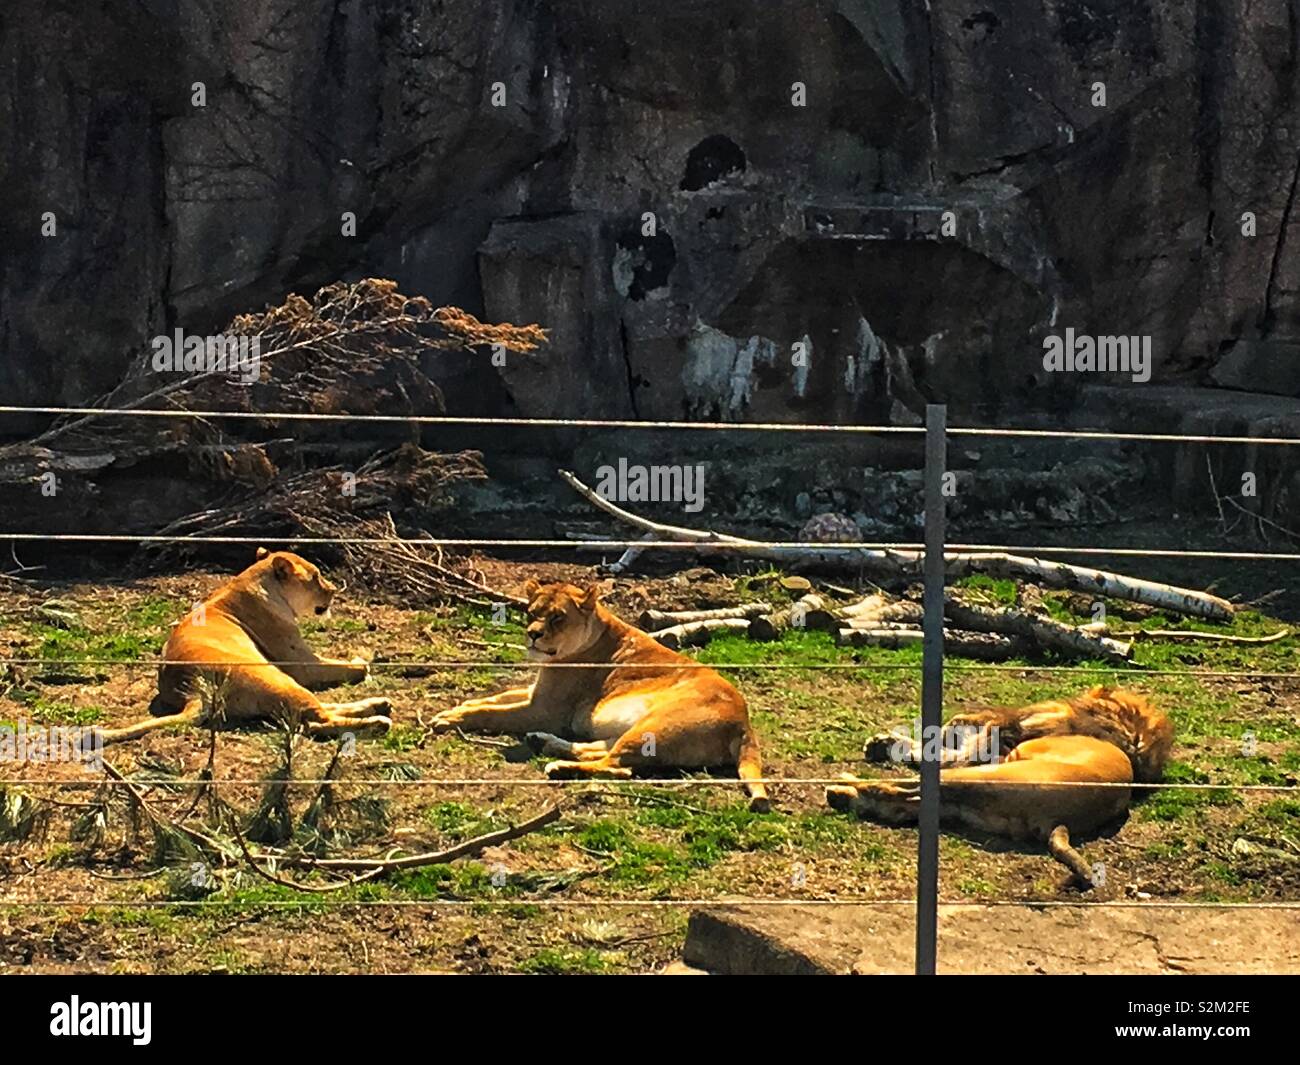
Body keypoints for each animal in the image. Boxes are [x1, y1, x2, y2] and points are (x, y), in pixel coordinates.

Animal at [93, 549, 392, 746]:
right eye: (316, 576)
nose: (333, 590)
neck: (252, 581)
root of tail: (191, 689)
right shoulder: (300, 663)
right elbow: (343, 667)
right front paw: (360, 663)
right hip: (274, 675)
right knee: (317, 721)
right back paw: (378, 722)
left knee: (318, 712)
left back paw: (379, 704)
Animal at [430, 580, 770, 811]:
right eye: (532, 613)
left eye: (557, 617)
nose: (533, 634)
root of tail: (745, 724)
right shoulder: (535, 693)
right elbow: (492, 699)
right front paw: (456, 708)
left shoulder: (545, 710)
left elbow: (490, 712)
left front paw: (448, 719)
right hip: (632, 729)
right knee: (597, 751)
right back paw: (543, 743)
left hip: (653, 726)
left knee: (617, 766)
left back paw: (558, 767)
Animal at [826, 686, 1173, 885]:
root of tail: (1061, 822)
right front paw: (885, 743)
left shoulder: (983, 751)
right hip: (966, 801)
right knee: (903, 803)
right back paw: (845, 794)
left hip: (978, 778)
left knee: (895, 790)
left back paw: (844, 784)